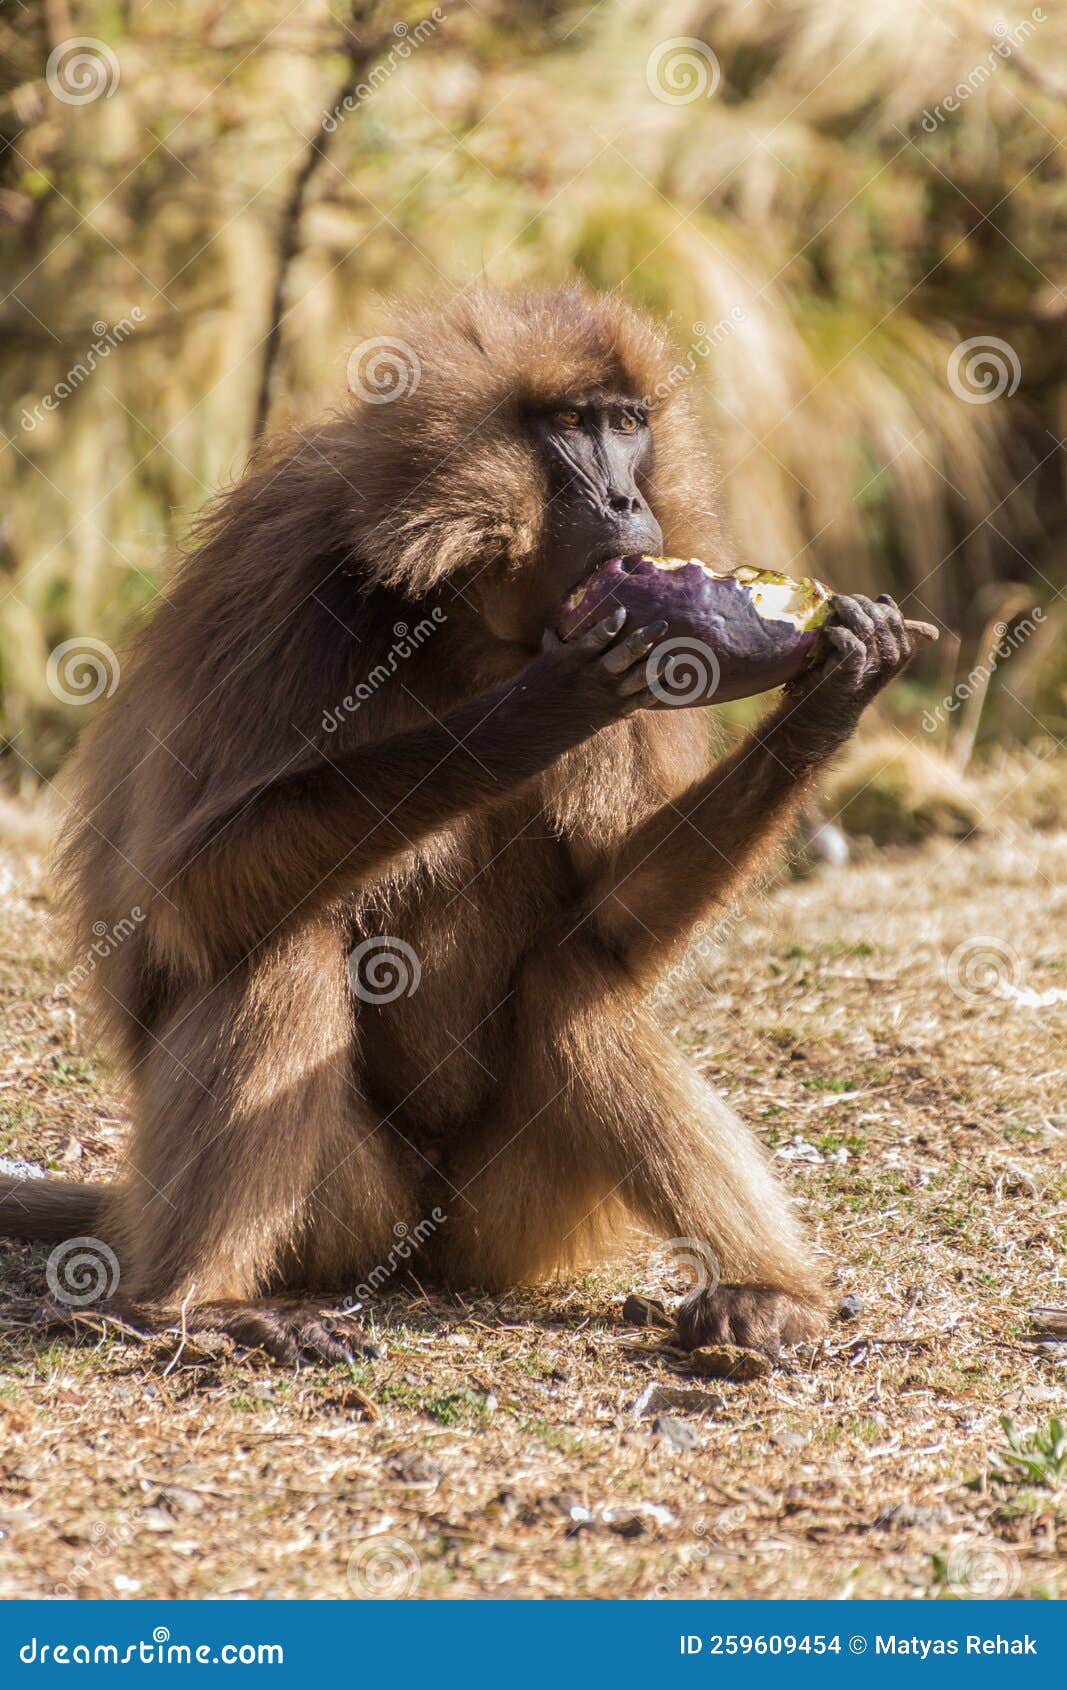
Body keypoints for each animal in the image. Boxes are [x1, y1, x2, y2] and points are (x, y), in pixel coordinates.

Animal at [0, 287, 922, 1366]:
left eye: (628, 424)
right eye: (571, 424)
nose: (627, 502)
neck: (464, 615)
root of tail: (426, 1246)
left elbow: (613, 920)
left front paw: (833, 691)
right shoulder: (278, 582)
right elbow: (182, 891)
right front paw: (539, 709)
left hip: (511, 1219)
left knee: (573, 986)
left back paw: (762, 1292)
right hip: (347, 1214)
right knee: (281, 951)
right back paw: (202, 1305)